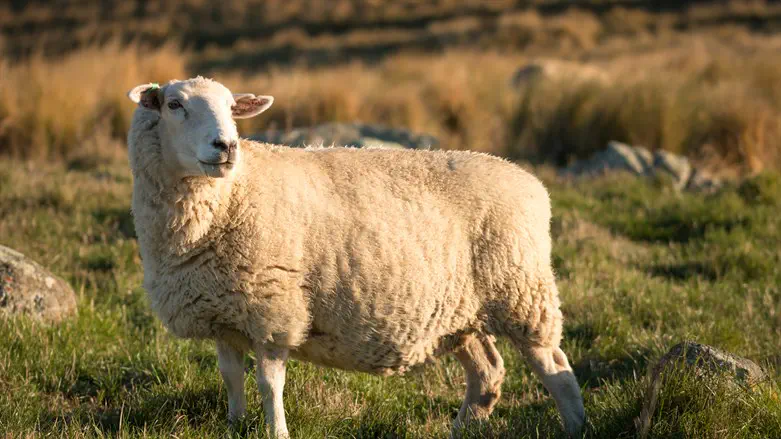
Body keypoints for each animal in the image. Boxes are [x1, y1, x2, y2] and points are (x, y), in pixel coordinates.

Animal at [126, 76, 585, 438]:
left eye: (231, 108)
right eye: (174, 105)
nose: (226, 145)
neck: (233, 194)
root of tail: (528, 180)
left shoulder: (274, 312)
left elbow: (269, 385)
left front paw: (277, 432)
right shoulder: (223, 313)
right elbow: (231, 379)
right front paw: (234, 426)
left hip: (522, 291)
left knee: (555, 368)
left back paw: (575, 426)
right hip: (460, 313)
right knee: (488, 371)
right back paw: (462, 428)